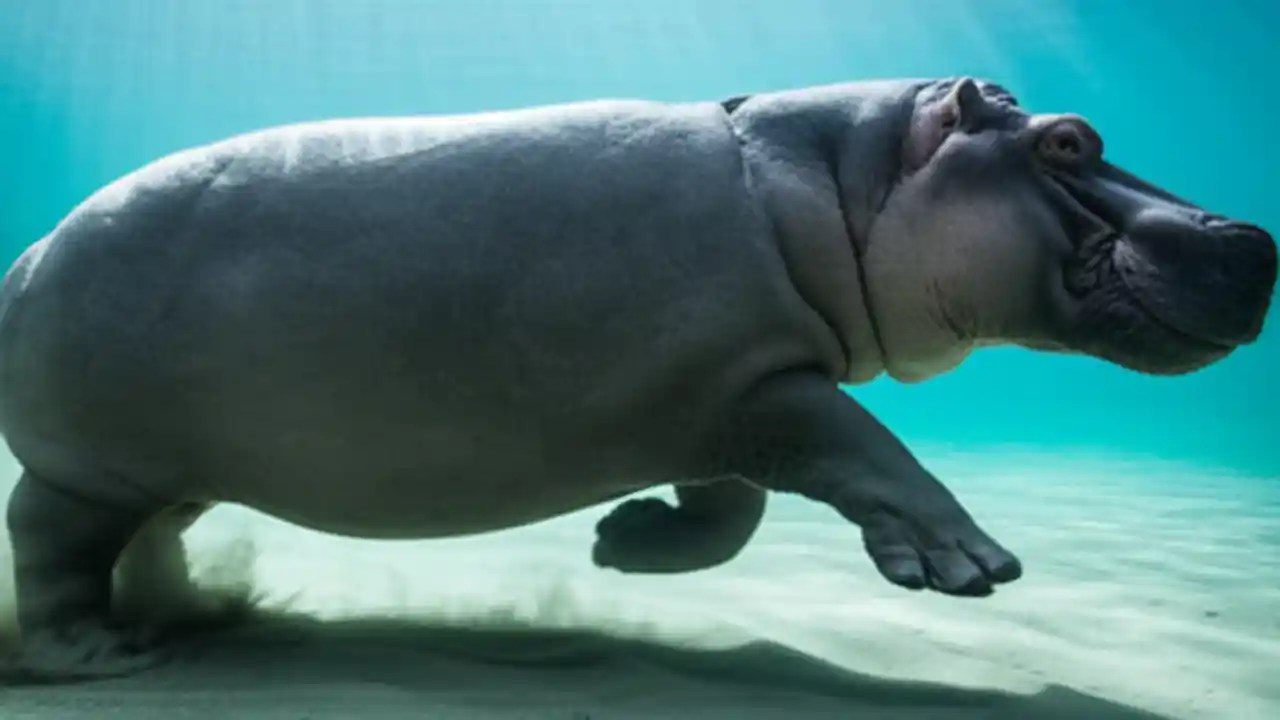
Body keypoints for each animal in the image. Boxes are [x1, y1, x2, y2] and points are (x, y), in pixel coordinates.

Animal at [1, 77, 1275, 677]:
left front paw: (623, 547)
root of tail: (29, 254)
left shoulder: (721, 399)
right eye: (1066, 140)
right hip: (82, 471)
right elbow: (870, 449)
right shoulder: (762, 385)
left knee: (150, 541)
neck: (845, 179)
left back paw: (184, 622)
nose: (1255, 240)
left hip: (164, 471)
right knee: (51, 553)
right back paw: (105, 656)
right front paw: (970, 566)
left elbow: (734, 512)